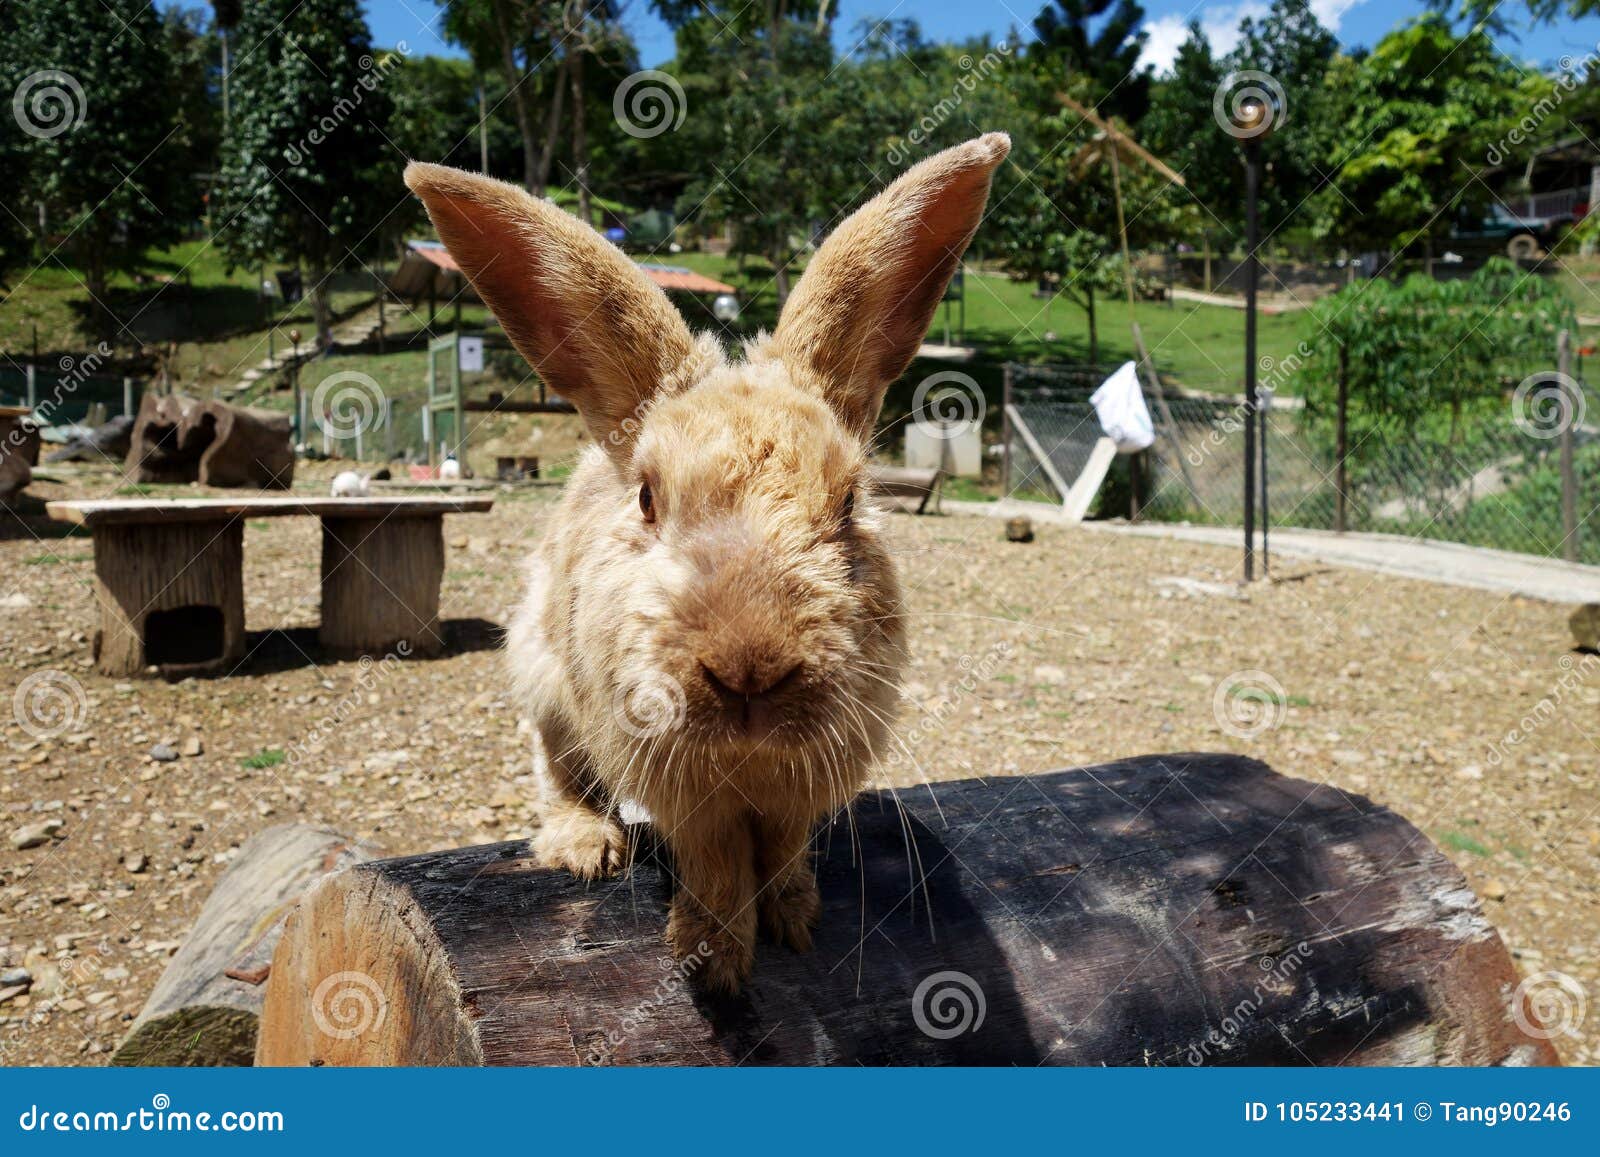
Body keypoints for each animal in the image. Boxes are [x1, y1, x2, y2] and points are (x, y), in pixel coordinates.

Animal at [404, 132, 1010, 993]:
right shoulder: (681, 789)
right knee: (556, 768)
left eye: (849, 500)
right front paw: (713, 955)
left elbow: (782, 848)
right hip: (541, 674)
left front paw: (795, 917)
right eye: (648, 497)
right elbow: (714, 860)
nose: (750, 669)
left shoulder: (801, 790)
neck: (747, 756)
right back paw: (584, 846)